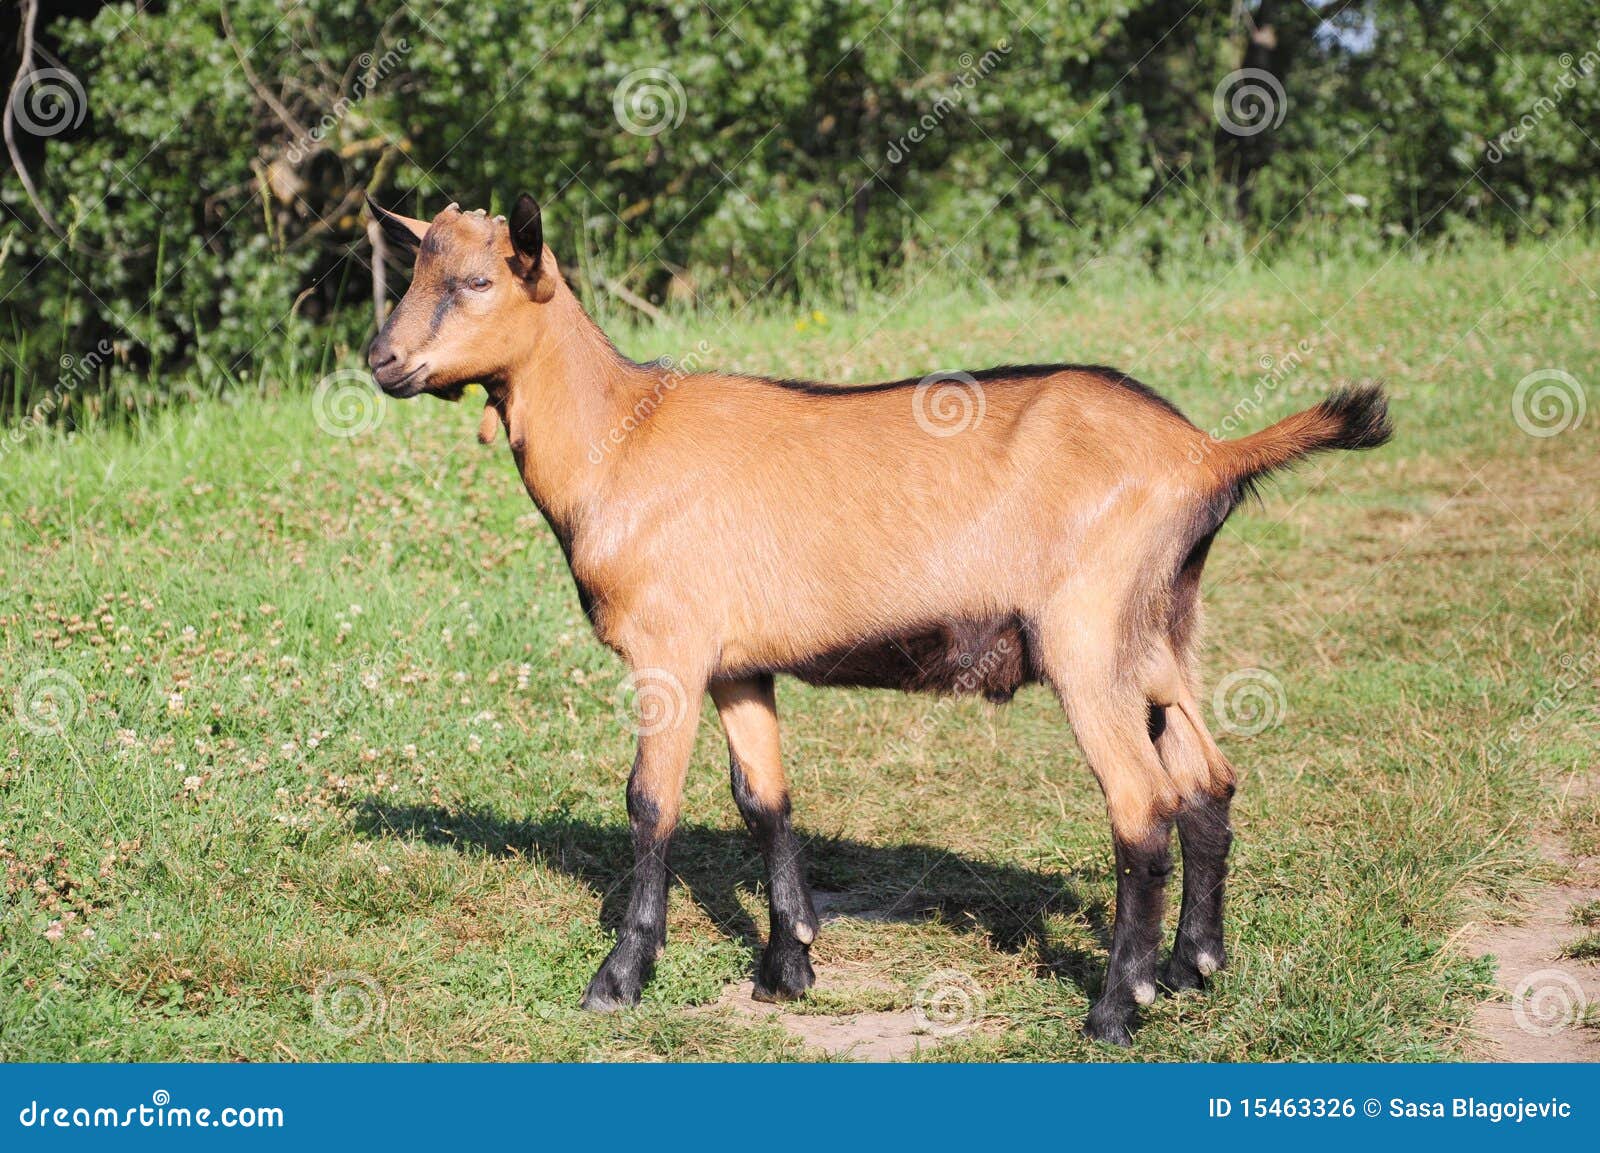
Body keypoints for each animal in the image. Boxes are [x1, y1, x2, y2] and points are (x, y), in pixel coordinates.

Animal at [365, 194, 1392, 1045]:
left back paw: (1112, 1011)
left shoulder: (670, 647)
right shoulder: (739, 663)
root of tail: (1207, 453)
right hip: (1161, 633)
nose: (381, 360)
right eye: (414, 271)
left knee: (1142, 806)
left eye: (477, 280)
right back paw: (1190, 968)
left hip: (1087, 637)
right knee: (1208, 782)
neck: (620, 436)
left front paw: (619, 978)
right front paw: (788, 965)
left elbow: (651, 802)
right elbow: (764, 798)